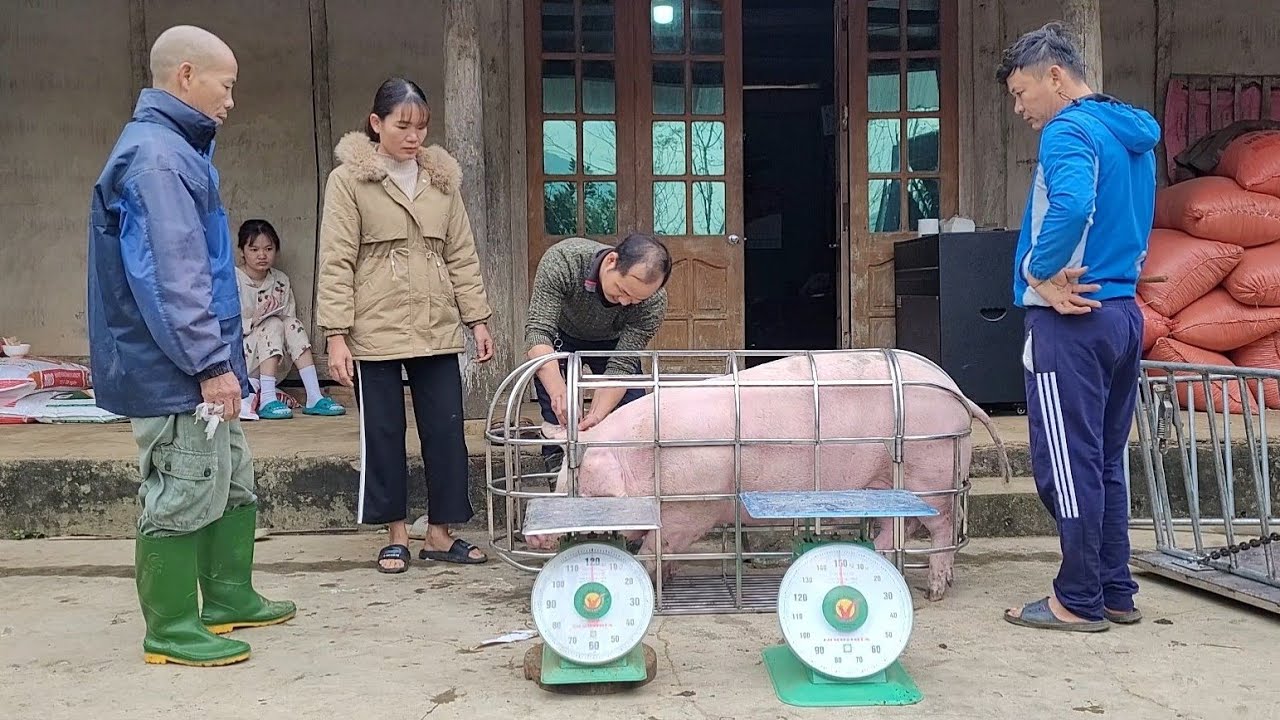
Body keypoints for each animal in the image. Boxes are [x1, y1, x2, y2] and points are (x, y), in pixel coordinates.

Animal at [525, 350, 1011, 601]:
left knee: (940, 527)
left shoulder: (694, 507)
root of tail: (958, 393)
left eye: (573, 479)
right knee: (897, 529)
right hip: (889, 482)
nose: (533, 536)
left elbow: (657, 548)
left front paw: (651, 576)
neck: (644, 459)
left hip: (932, 470)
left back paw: (935, 591)